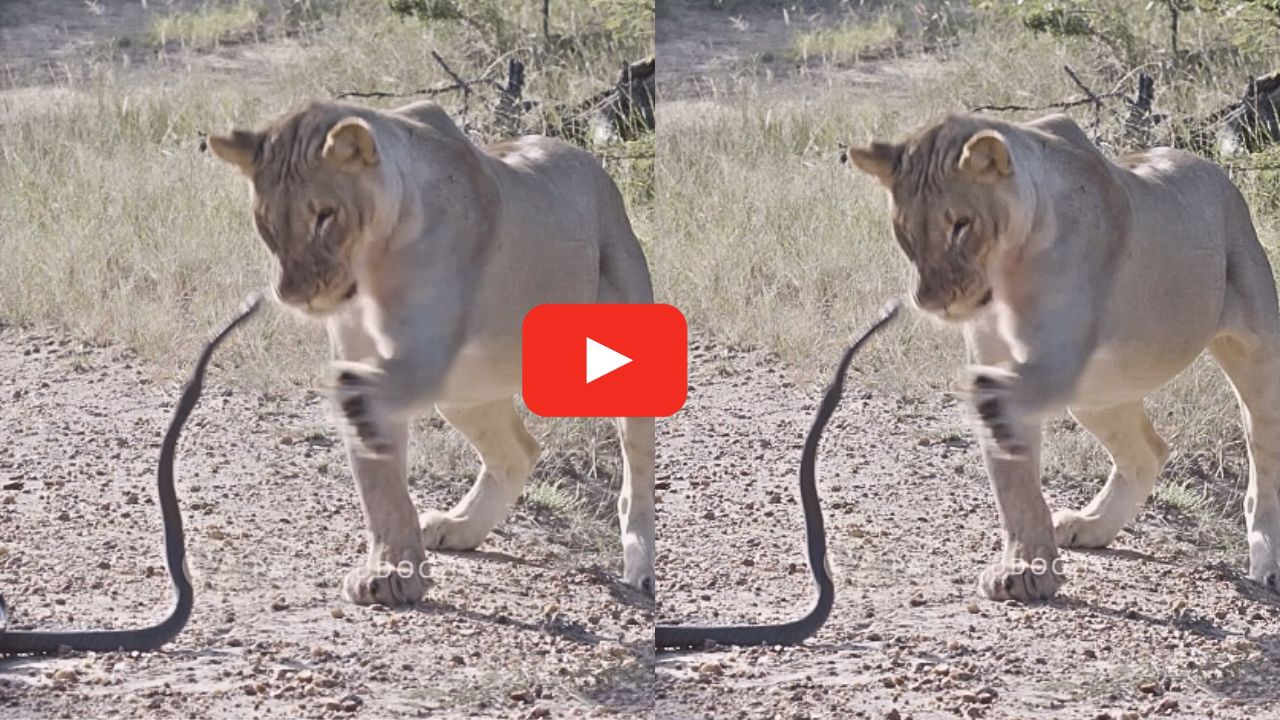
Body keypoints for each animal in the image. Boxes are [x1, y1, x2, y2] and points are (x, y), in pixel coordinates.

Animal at [208, 100, 655, 605]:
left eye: (325, 215)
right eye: (267, 223)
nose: (292, 293)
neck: (371, 266)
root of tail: (591, 164)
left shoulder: (427, 350)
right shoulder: (365, 351)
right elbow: (380, 488)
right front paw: (391, 572)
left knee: (635, 477)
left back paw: (640, 569)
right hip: (466, 393)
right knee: (519, 452)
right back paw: (459, 526)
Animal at [847, 113, 1280, 602]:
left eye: (961, 224)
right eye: (905, 232)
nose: (929, 299)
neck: (1005, 273)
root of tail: (1216, 173)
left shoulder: (1059, 356)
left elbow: (1007, 406)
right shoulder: (1002, 356)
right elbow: (1015, 488)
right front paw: (1025, 569)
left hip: (1258, 356)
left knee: (1263, 469)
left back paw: (1267, 564)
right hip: (1100, 394)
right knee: (1148, 452)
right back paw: (1091, 525)